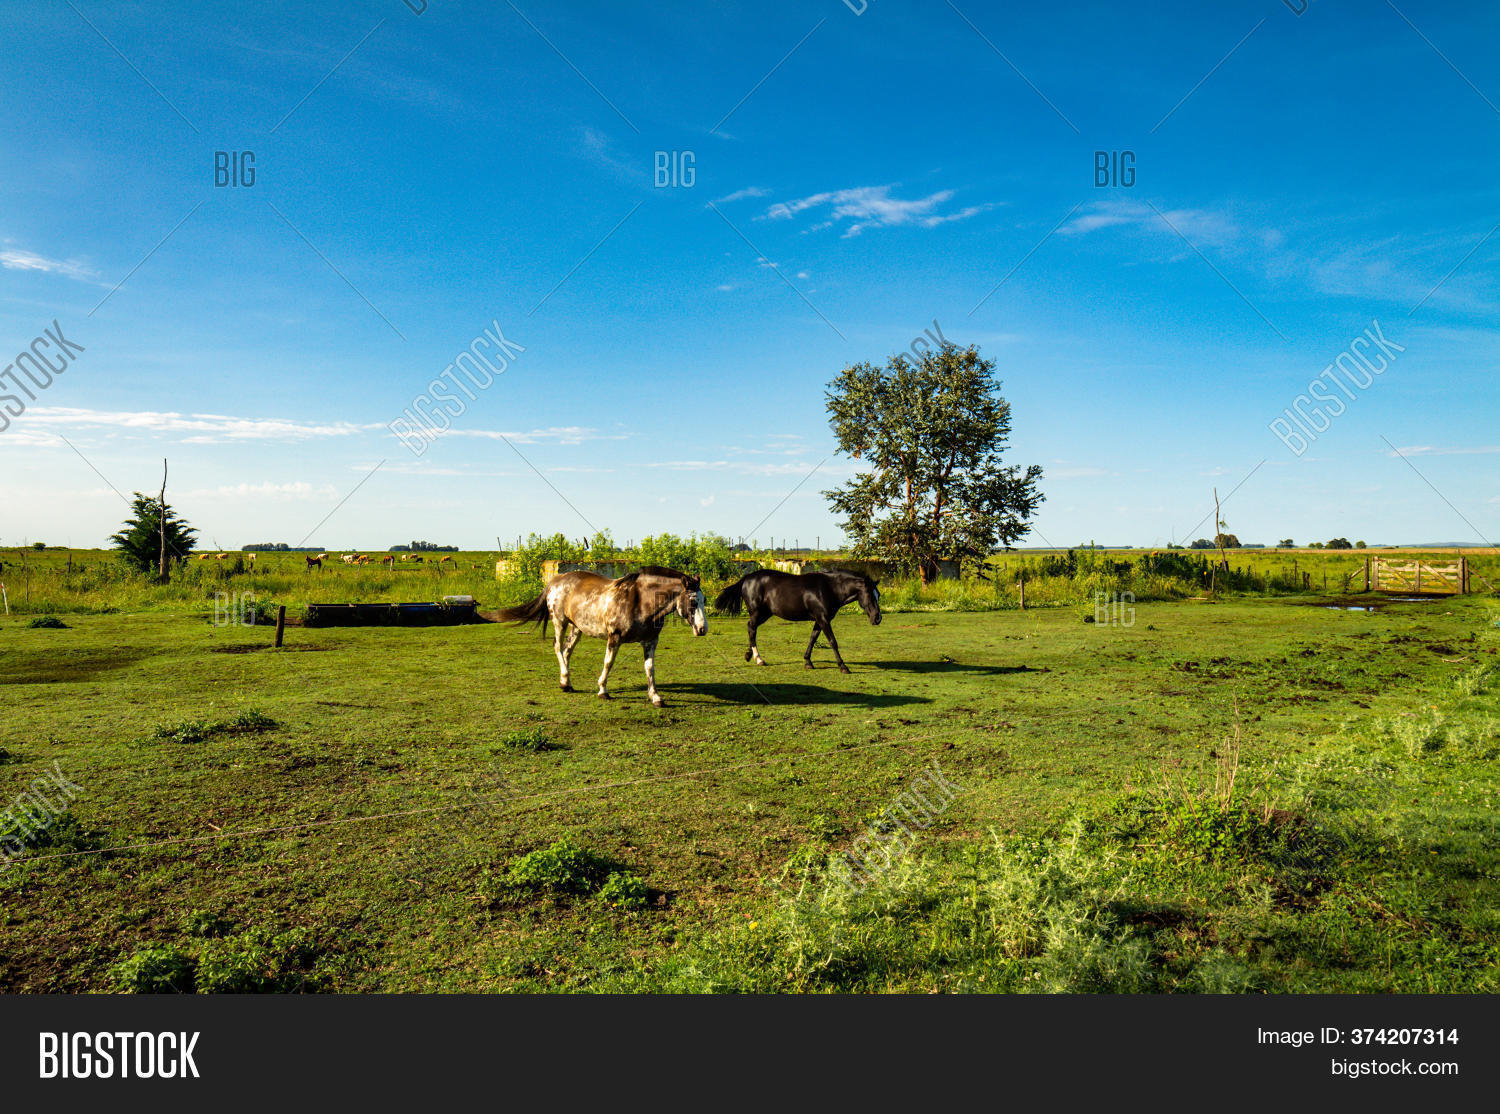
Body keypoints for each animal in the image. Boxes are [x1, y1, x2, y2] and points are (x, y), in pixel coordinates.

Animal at [497, 566, 706, 707]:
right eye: (693, 601)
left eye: (704, 600)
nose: (702, 629)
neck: (639, 602)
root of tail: (557, 580)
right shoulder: (614, 638)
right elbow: (608, 663)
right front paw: (602, 690)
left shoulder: (650, 641)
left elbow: (650, 668)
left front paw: (655, 697)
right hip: (559, 621)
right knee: (557, 646)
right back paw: (565, 680)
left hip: (576, 628)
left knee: (566, 650)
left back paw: (566, 683)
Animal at [714, 569, 880, 673]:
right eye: (870, 595)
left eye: (878, 595)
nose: (877, 618)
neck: (829, 588)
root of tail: (747, 578)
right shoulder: (823, 619)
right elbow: (833, 641)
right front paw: (843, 667)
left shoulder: (819, 620)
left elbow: (812, 639)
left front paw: (808, 662)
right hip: (757, 612)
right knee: (751, 628)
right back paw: (759, 659)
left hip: (765, 614)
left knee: (751, 629)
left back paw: (749, 655)